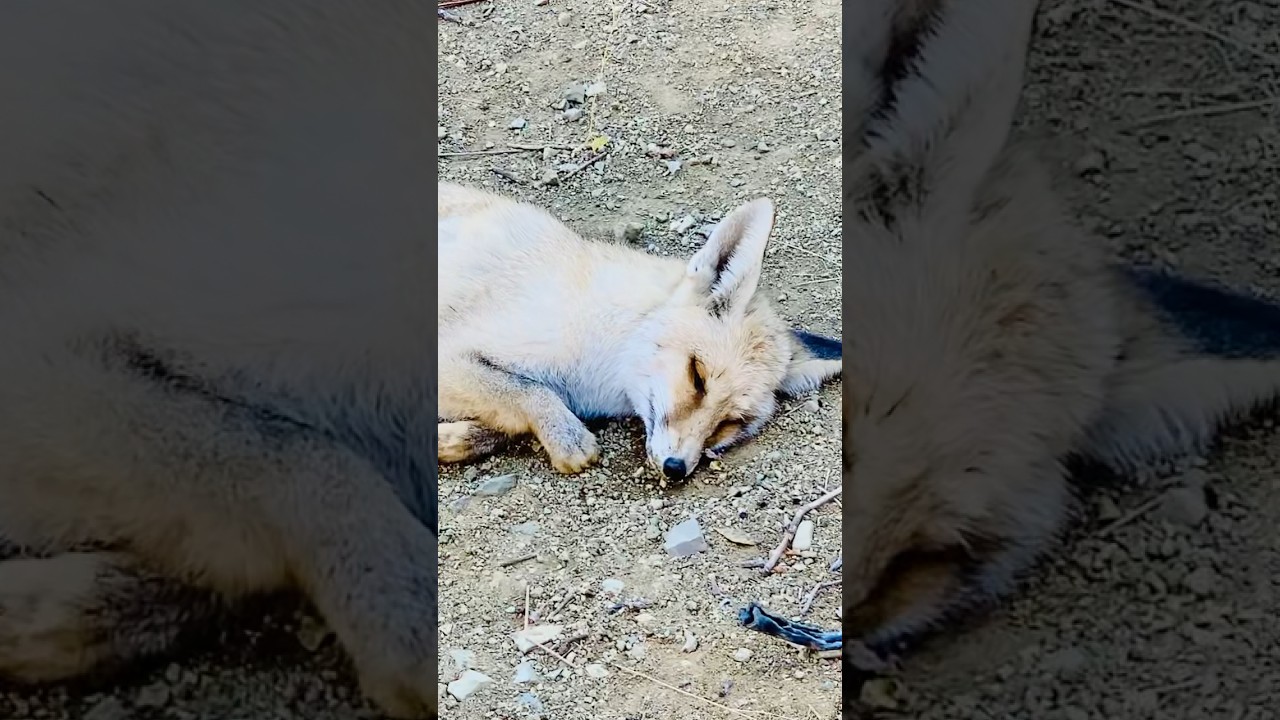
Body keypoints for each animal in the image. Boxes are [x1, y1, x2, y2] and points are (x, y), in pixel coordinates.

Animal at [437, 183, 843, 484]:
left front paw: (455, 439)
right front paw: (567, 439)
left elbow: (507, 412)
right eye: (697, 377)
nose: (676, 469)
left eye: (731, 423)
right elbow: (527, 390)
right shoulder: (448, 352)